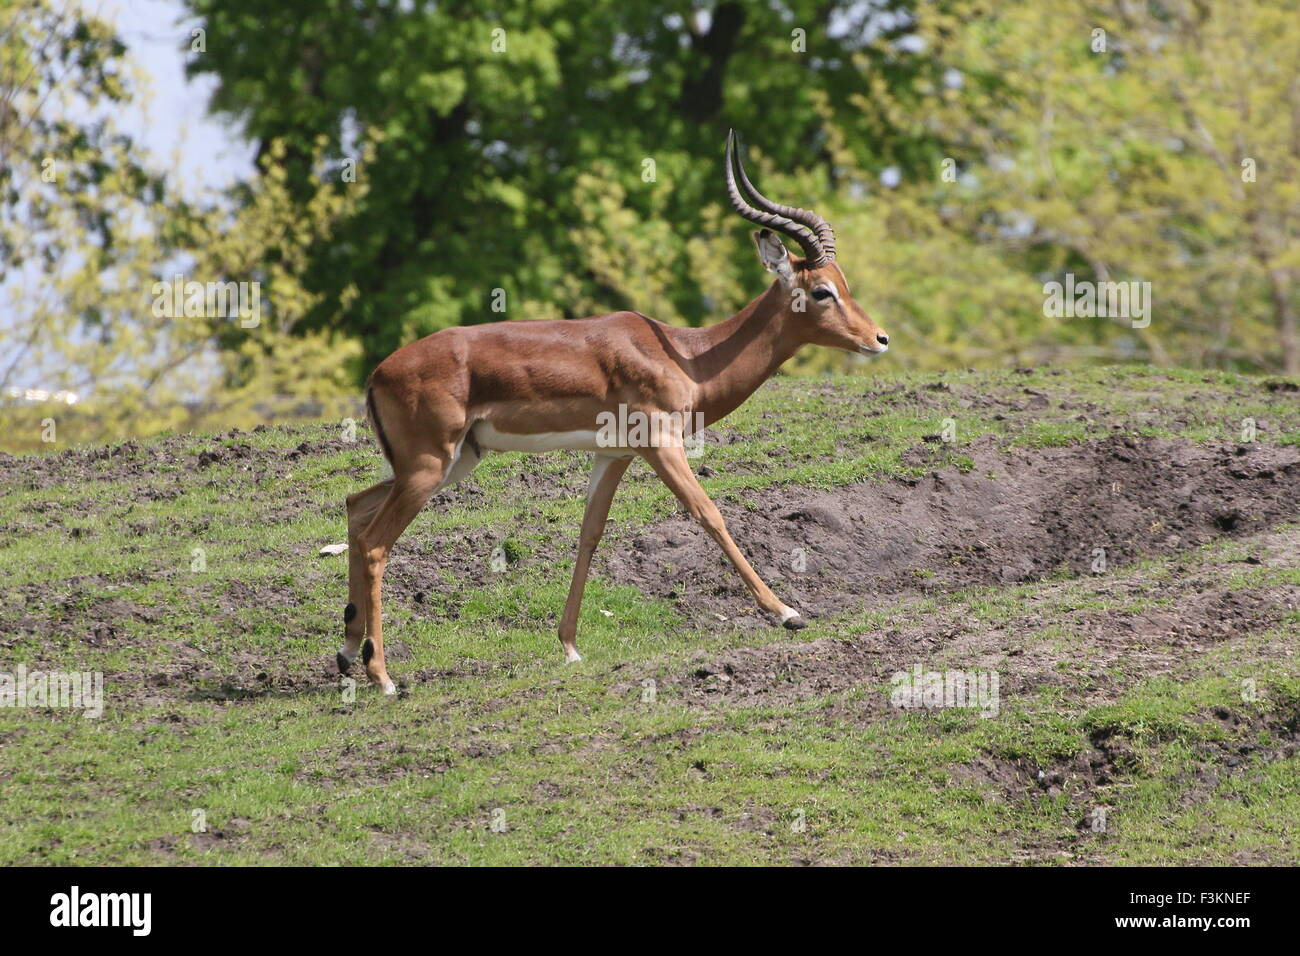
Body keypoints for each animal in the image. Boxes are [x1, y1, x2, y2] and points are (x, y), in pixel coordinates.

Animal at [338, 130, 890, 693]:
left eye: (843, 282)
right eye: (821, 290)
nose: (879, 339)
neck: (686, 355)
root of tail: (378, 374)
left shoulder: (615, 455)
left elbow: (590, 532)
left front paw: (569, 645)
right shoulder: (661, 444)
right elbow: (709, 513)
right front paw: (786, 613)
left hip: (450, 463)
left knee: (356, 511)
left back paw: (348, 653)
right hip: (429, 467)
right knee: (377, 544)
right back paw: (383, 677)